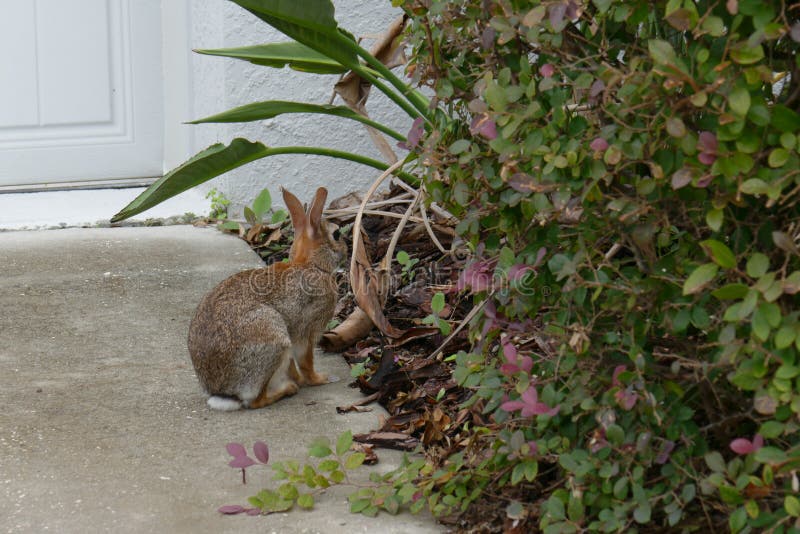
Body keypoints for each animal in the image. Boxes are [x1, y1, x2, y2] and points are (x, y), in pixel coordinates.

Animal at [188, 187, 347, 410]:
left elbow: (293, 365)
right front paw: (320, 379)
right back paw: (287, 390)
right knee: (256, 401)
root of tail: (224, 393)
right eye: (336, 234)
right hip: (275, 339)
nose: (347, 250)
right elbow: (305, 361)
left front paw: (300, 379)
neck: (311, 264)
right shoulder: (307, 331)